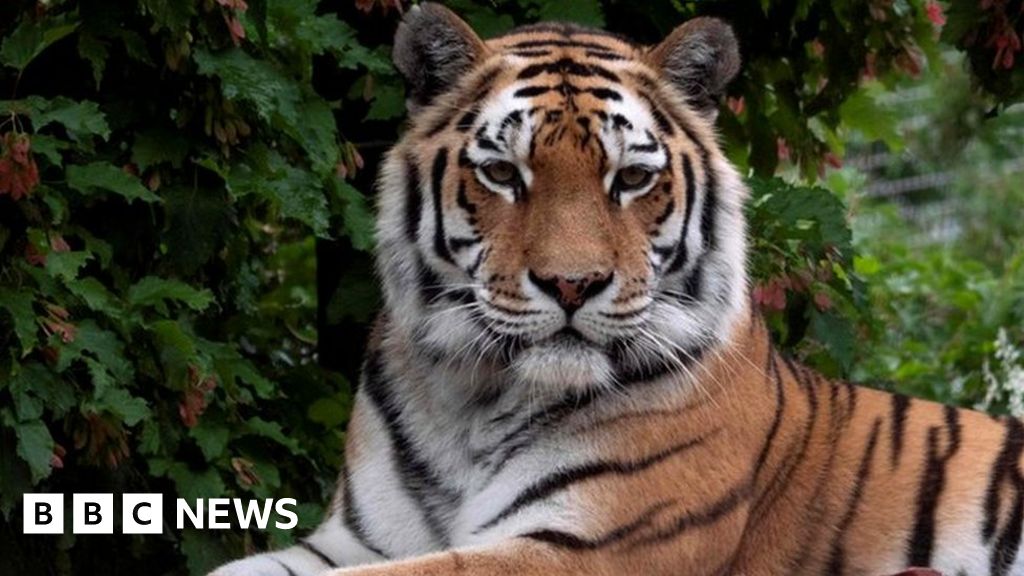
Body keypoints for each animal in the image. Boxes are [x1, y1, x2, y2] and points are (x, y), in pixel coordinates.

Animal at [209, 4, 1024, 576]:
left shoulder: (590, 545)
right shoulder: (354, 539)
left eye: (631, 178)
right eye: (502, 173)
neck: (473, 403)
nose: (573, 284)